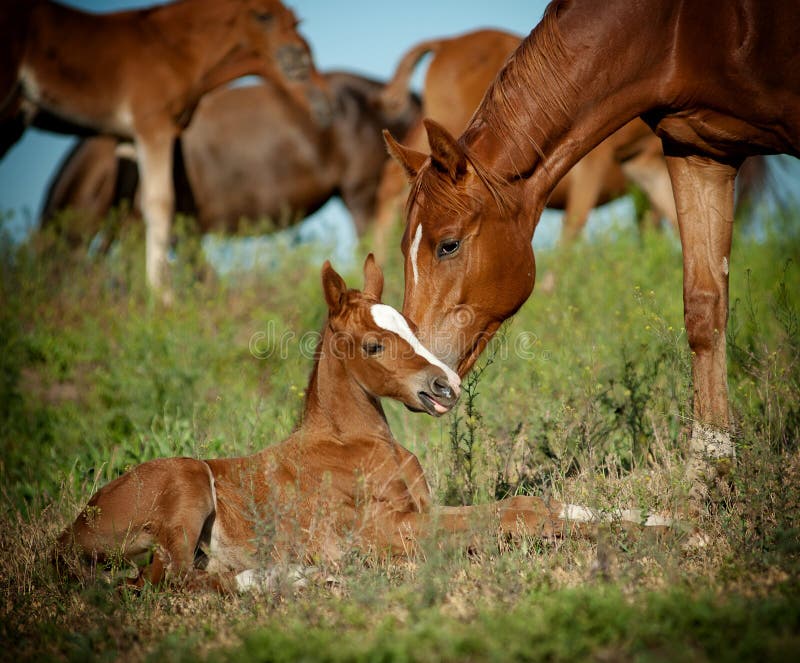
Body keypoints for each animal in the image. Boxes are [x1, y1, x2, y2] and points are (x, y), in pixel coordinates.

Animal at [1, 0, 330, 302]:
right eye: (264, 17)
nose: (324, 101)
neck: (173, 50)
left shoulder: (127, 139)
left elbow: (125, 210)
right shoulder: (153, 126)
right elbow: (160, 203)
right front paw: (162, 295)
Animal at [54, 254, 672, 591]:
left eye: (411, 326)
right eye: (374, 344)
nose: (446, 385)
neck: (350, 442)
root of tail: (69, 535)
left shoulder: (424, 512)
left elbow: (529, 504)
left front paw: (660, 520)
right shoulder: (384, 532)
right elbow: (512, 518)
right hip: (184, 487)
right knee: (168, 582)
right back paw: (293, 577)